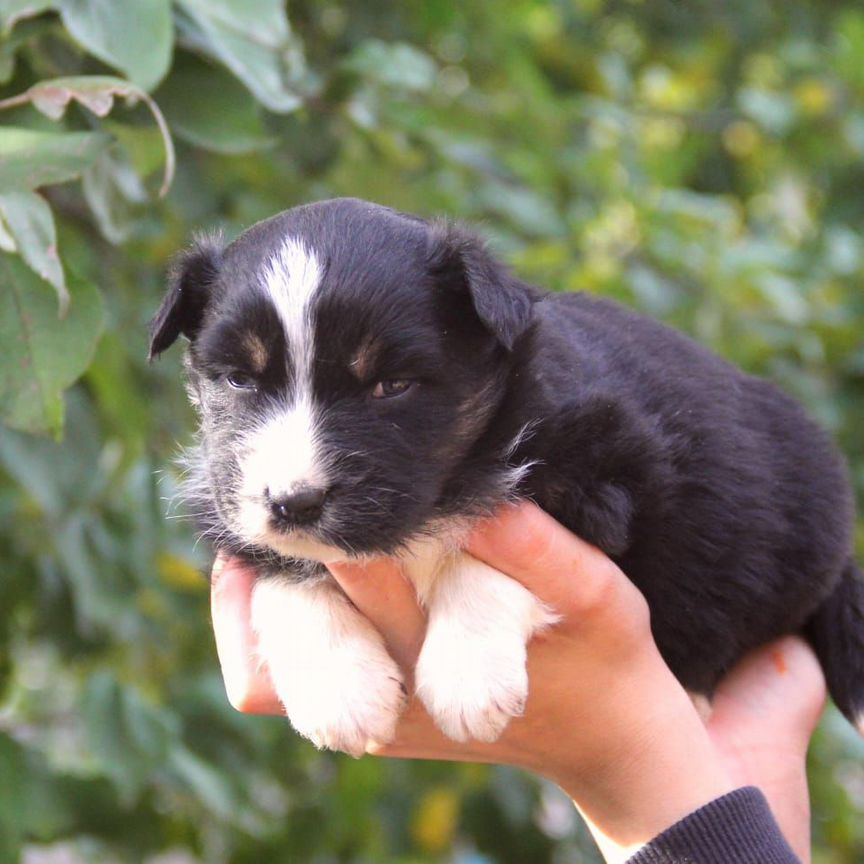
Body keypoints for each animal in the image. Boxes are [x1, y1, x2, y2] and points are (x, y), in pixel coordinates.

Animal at [150, 199, 864, 752]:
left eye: (392, 385)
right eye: (239, 380)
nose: (293, 502)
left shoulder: (608, 483)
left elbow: (484, 557)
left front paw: (468, 680)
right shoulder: (225, 498)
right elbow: (284, 571)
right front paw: (342, 692)